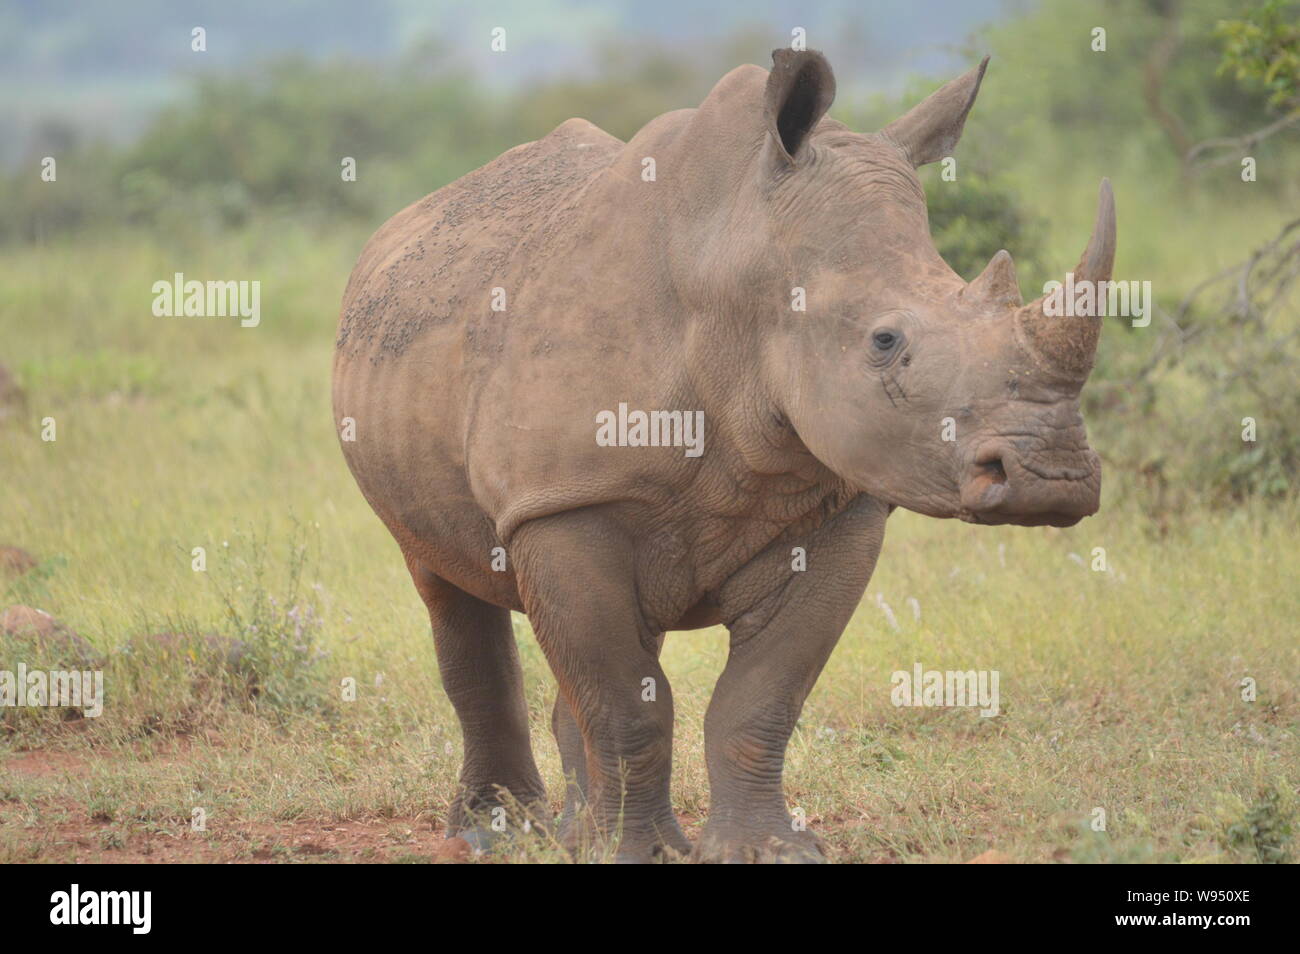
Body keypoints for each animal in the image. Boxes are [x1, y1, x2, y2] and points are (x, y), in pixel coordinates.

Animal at [332, 49, 1115, 863]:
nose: (1052, 478)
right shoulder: (563, 499)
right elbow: (625, 701)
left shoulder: (842, 509)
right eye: (885, 341)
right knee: (447, 584)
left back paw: (576, 833)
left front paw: (766, 850)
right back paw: (495, 832)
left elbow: (759, 700)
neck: (742, 271)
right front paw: (637, 854)